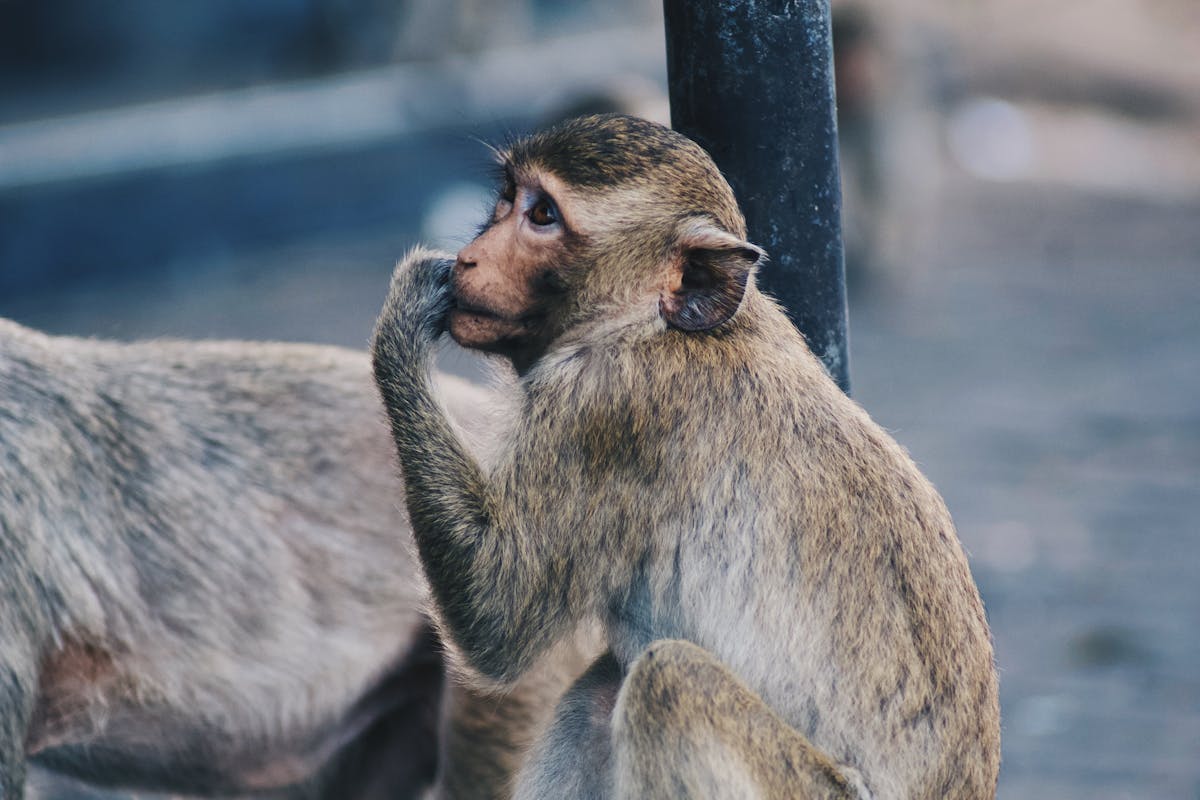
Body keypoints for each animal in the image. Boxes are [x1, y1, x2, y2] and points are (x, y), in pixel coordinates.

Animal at [370, 114, 1000, 799]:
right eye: (508, 200)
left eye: (542, 215)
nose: (469, 258)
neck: (650, 323)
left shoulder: (604, 407)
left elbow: (496, 616)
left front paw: (402, 315)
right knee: (602, 690)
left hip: (813, 788)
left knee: (667, 680)